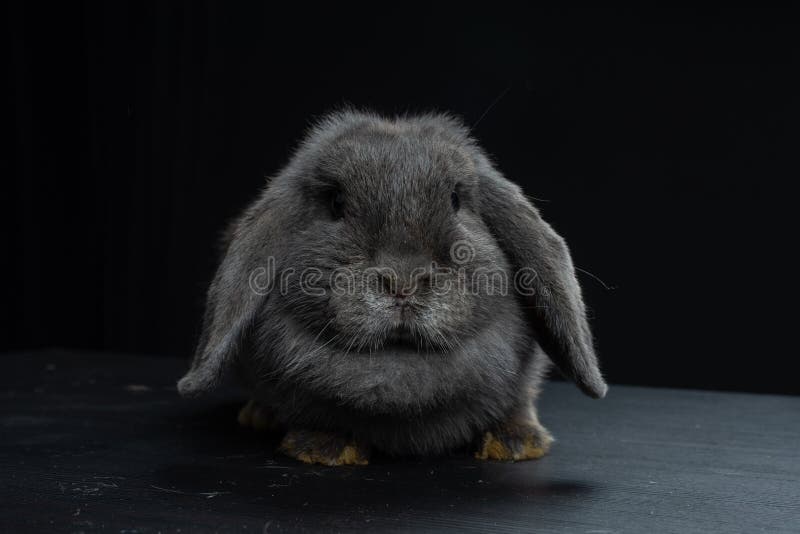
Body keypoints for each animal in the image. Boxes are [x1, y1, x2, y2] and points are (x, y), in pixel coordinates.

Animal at [177, 109, 607, 466]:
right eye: (336, 202)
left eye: (456, 199)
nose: (402, 282)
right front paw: (322, 448)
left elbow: (520, 400)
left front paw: (517, 442)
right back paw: (258, 415)